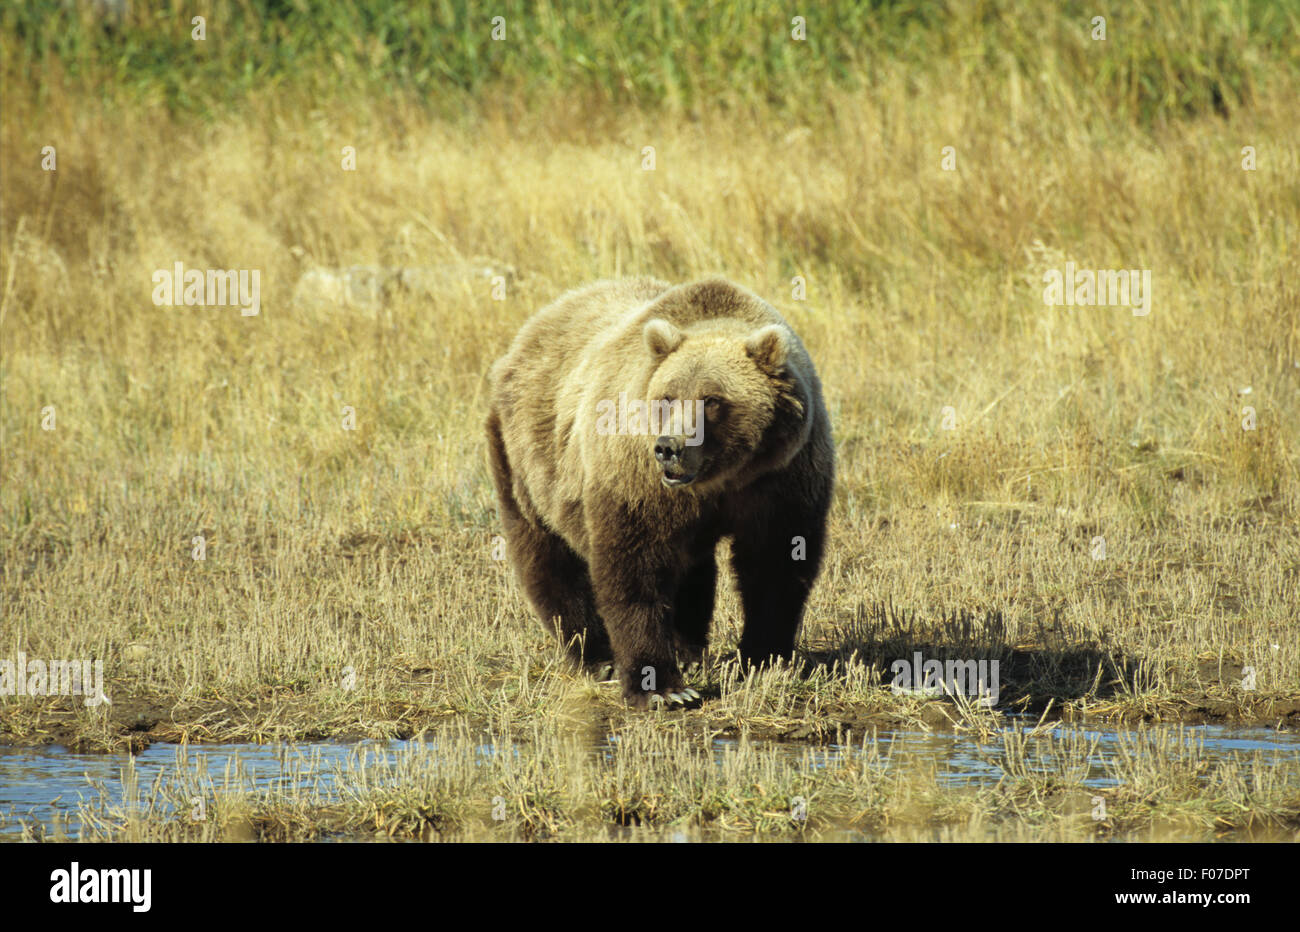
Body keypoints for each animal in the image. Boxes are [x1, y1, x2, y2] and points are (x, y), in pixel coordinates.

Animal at [485, 278, 834, 708]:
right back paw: (596, 655)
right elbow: (636, 566)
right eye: (667, 397)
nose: (669, 447)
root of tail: (533, 327)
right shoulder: (637, 480)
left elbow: (776, 562)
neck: (723, 478)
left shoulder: (783, 477)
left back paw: (687, 648)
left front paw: (764, 660)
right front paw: (662, 687)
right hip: (527, 459)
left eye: (712, 399)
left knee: (692, 566)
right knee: (547, 554)